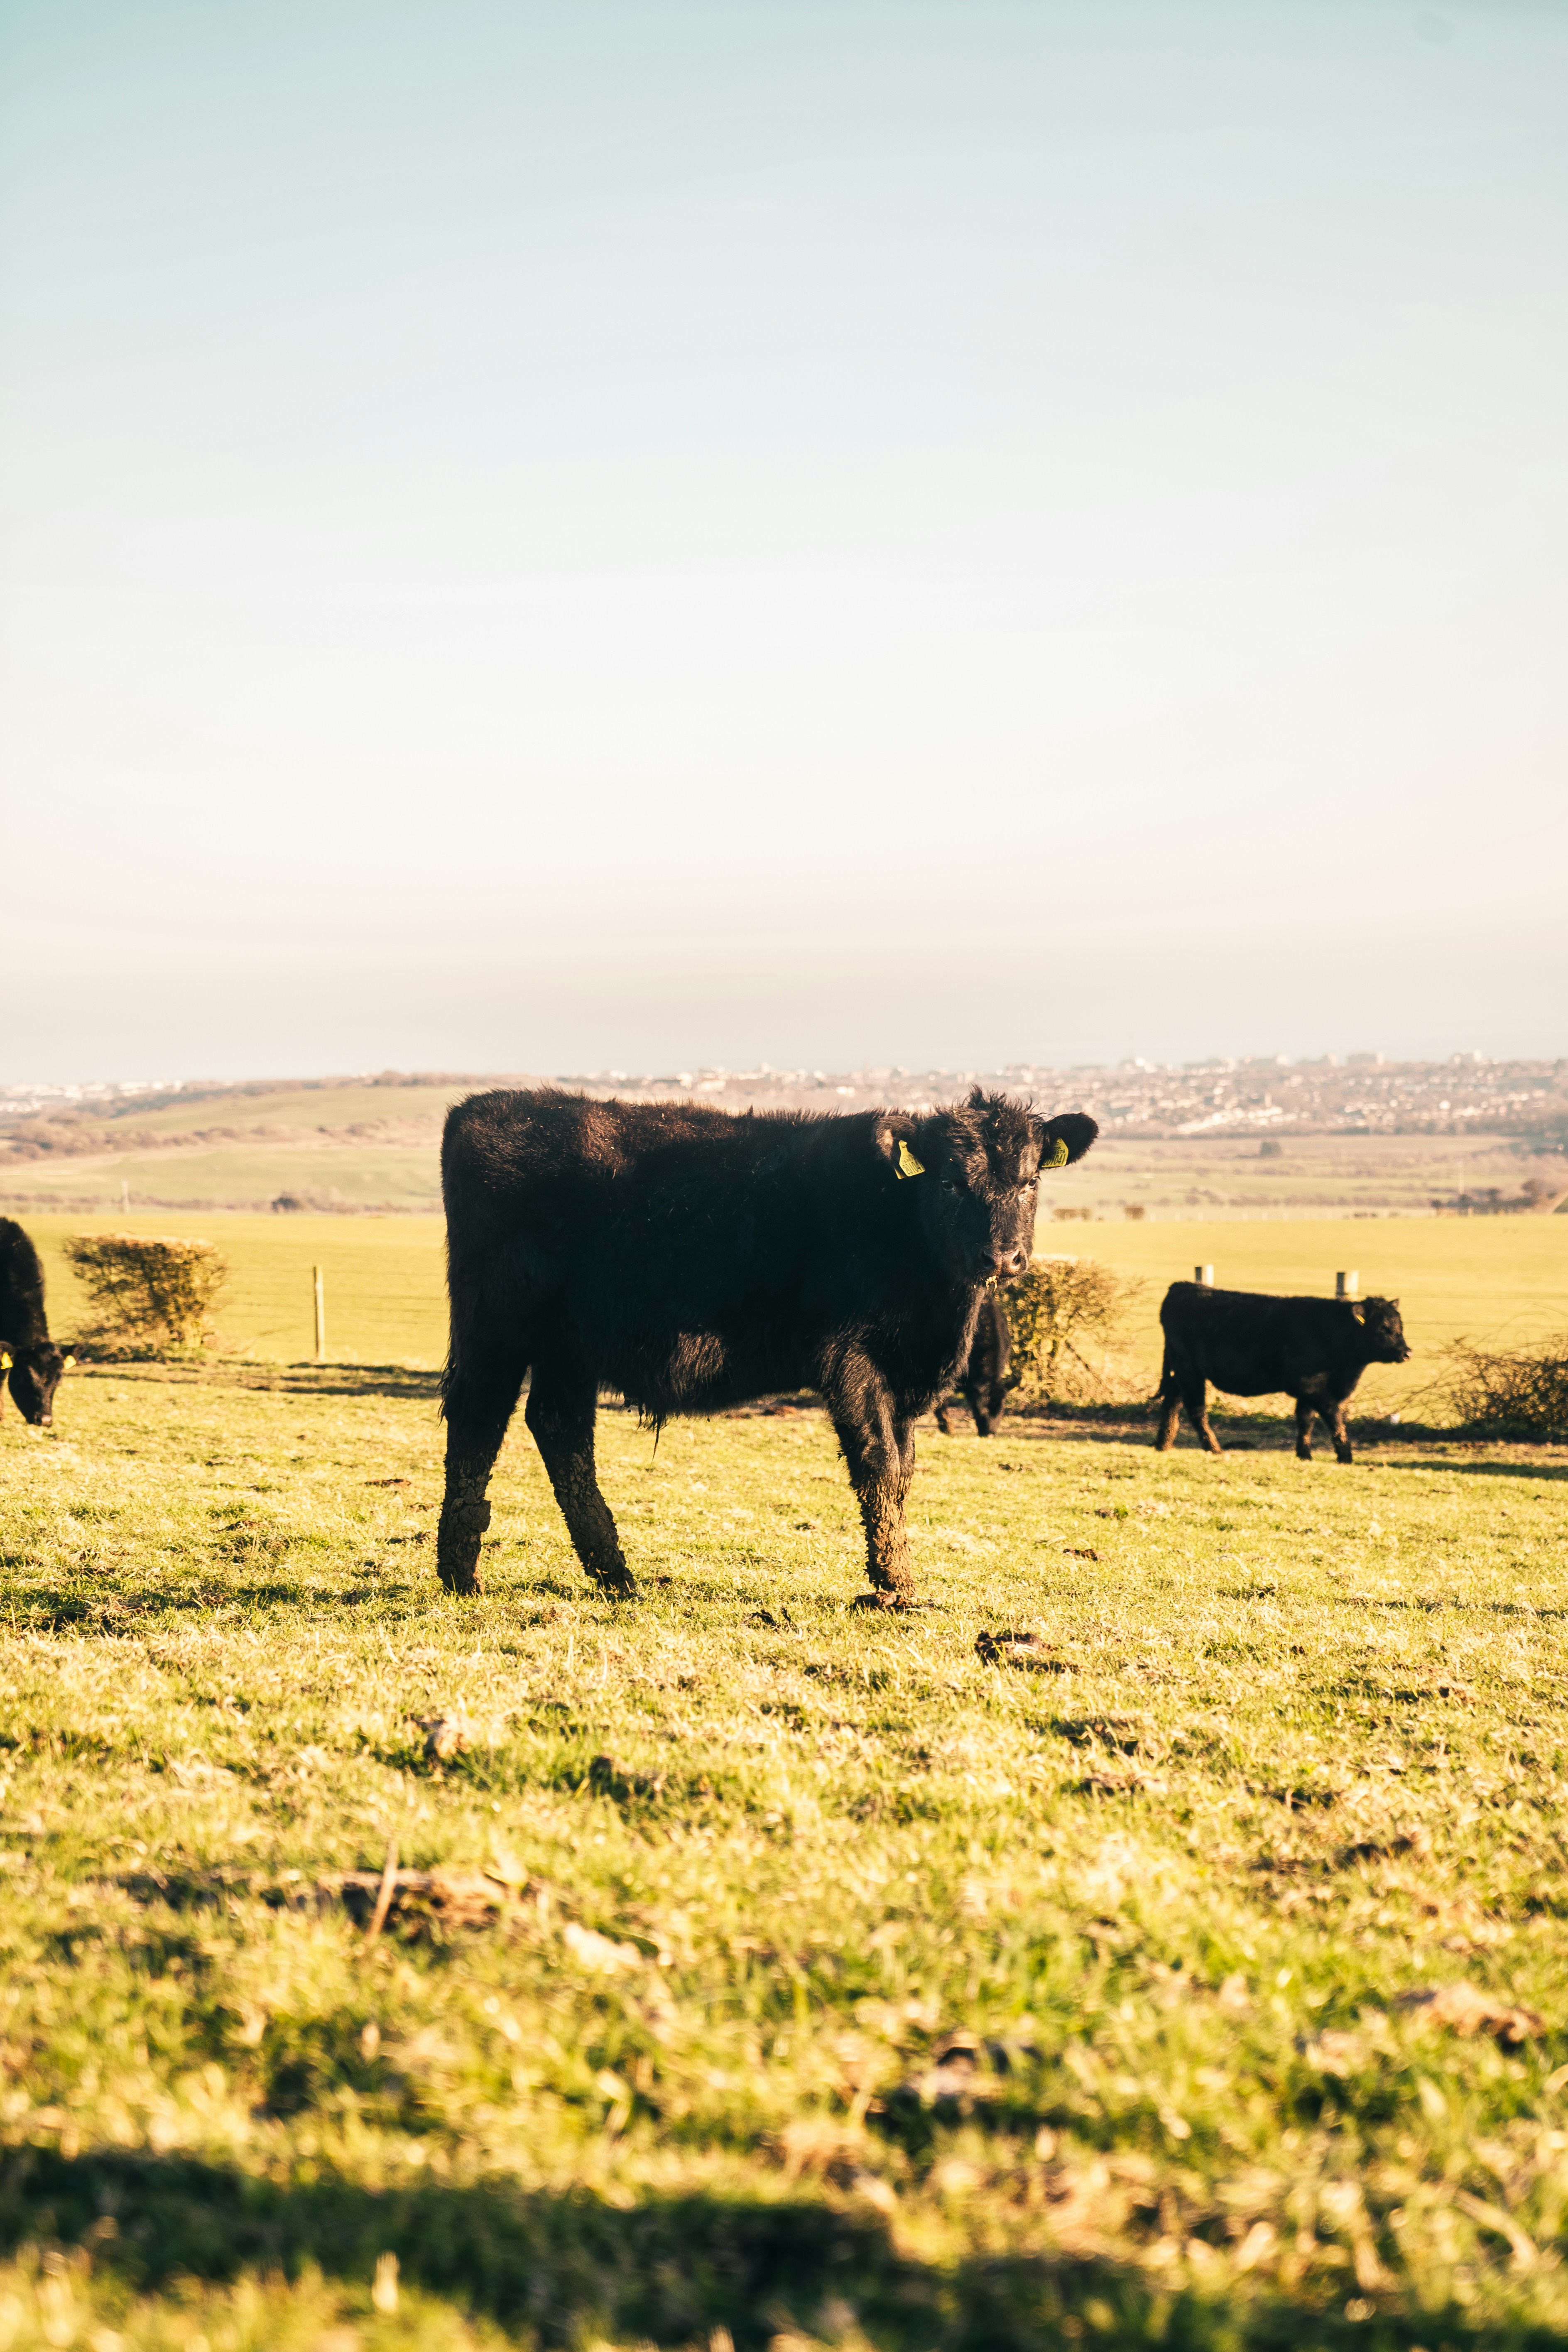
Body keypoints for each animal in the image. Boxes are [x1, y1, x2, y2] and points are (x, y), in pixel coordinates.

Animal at [1155, 1280, 1410, 1462]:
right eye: (1383, 1328)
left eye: (1400, 1326)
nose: (1406, 1352)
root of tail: (1182, 1286)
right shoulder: (1309, 1385)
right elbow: (1333, 1415)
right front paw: (1345, 1456)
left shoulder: (1310, 1389)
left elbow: (1306, 1420)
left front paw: (1305, 1455)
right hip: (1190, 1371)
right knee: (1196, 1409)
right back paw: (1213, 1449)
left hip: (1182, 1372)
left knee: (1173, 1399)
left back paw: (1163, 1444)